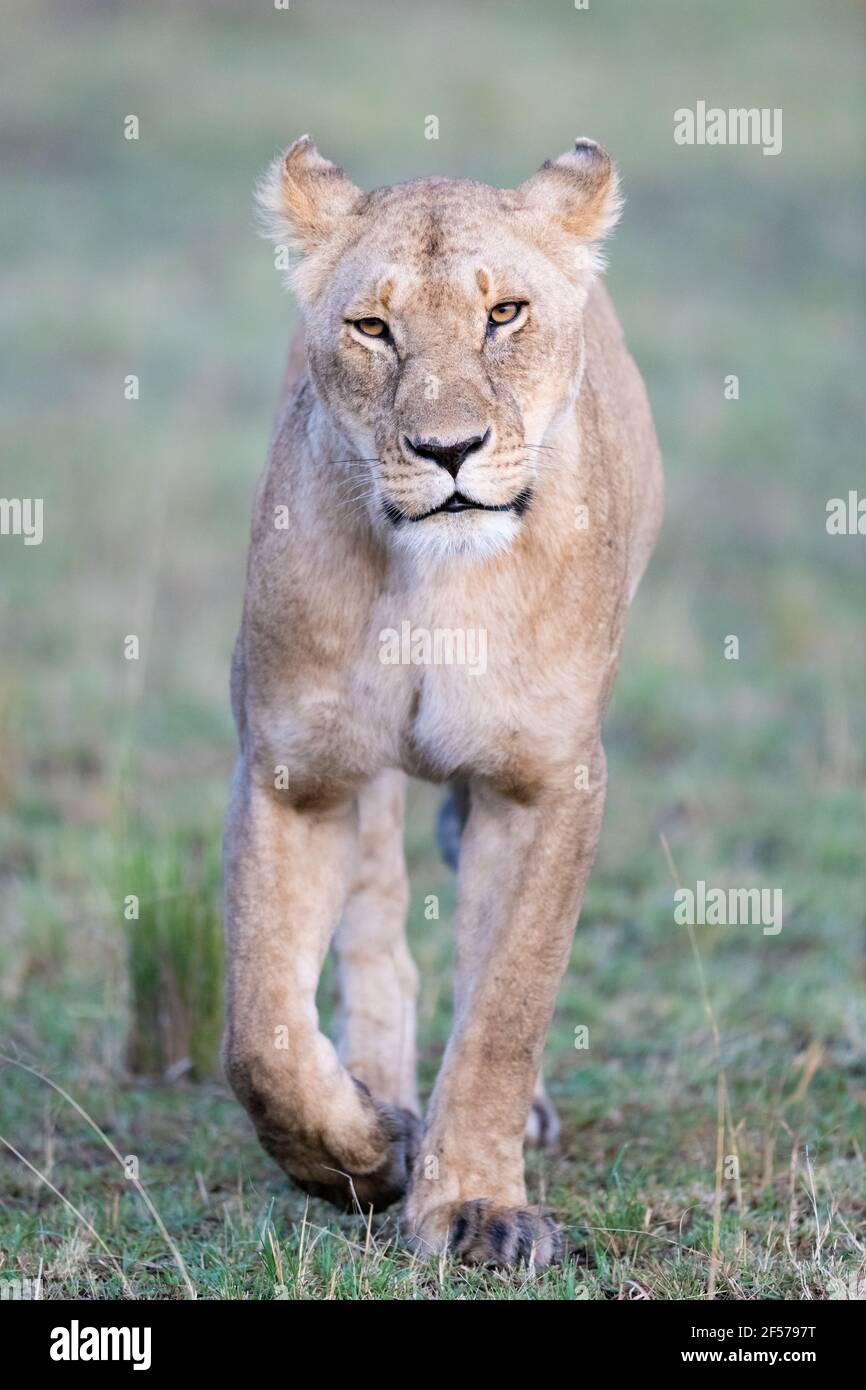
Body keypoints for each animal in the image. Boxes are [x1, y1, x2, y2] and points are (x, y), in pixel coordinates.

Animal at [223, 135, 663, 1268]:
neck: (437, 584)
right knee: (376, 929)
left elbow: (505, 1003)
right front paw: (365, 1152)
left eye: (503, 314)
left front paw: (473, 1205)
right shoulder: (291, 774)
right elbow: (261, 1033)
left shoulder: (546, 783)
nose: (449, 451)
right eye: (371, 328)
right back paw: (383, 1094)